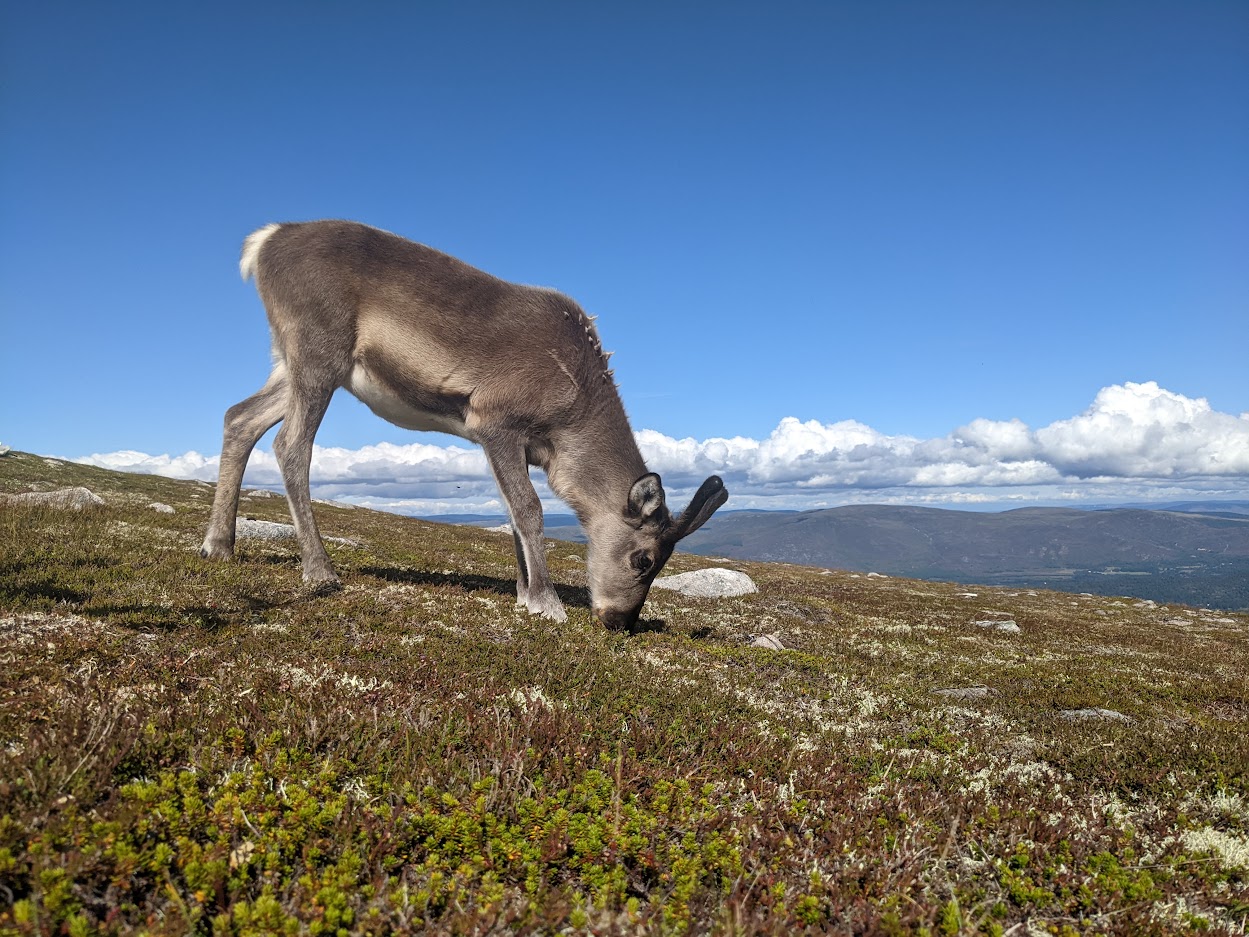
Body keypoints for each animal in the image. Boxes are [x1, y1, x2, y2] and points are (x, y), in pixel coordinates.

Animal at [200, 221, 728, 631]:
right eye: (644, 558)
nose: (619, 621)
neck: (573, 417)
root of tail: (265, 241)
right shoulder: (498, 423)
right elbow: (530, 510)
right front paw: (547, 603)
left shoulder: (506, 445)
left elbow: (511, 514)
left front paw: (525, 595)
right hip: (318, 352)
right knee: (290, 445)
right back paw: (319, 570)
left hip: (294, 364)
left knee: (238, 418)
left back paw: (218, 546)